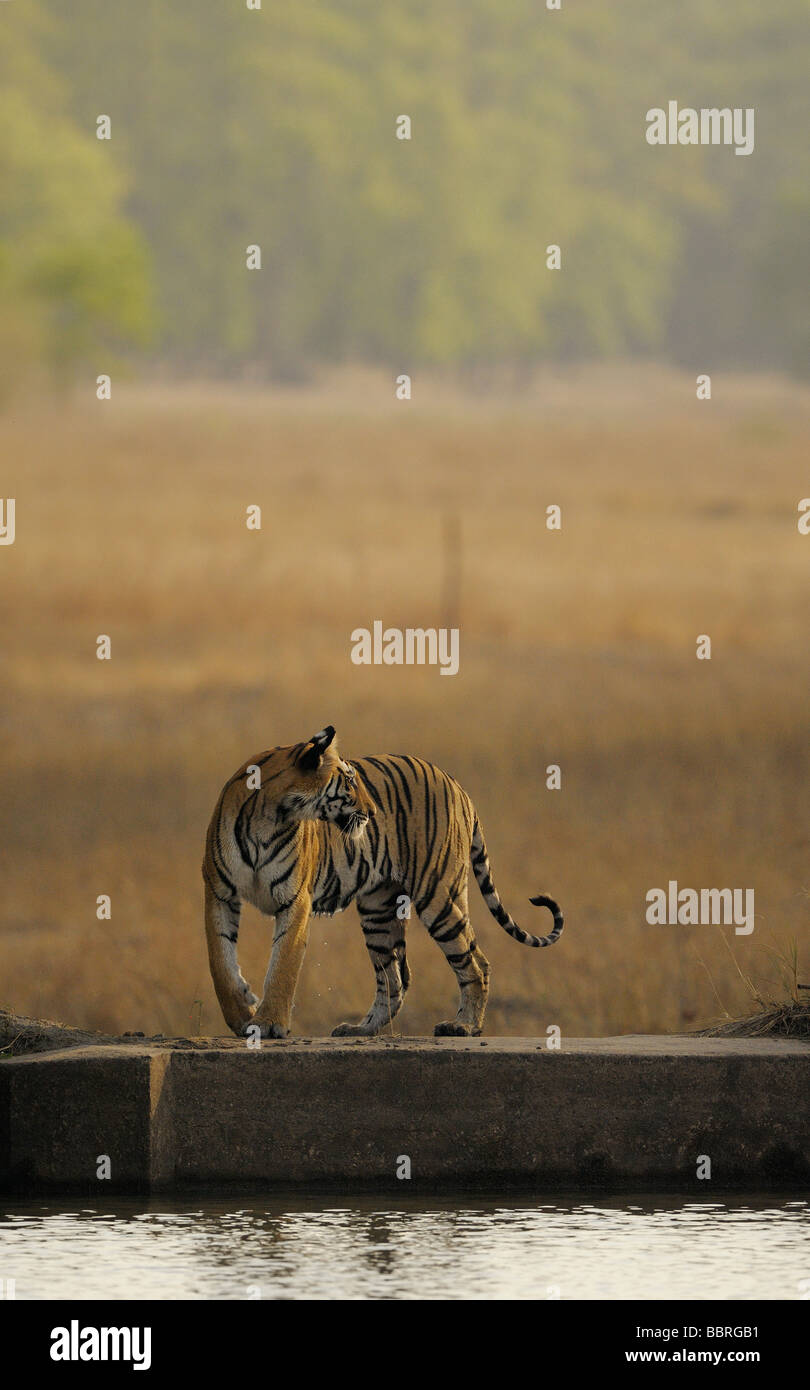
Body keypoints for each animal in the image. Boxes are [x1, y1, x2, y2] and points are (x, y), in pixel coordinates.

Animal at [202, 726, 564, 1039]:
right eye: (349, 782)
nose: (374, 811)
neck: (269, 819)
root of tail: (456, 784)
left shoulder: (295, 900)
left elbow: (283, 965)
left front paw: (268, 1023)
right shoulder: (219, 895)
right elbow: (221, 965)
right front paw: (242, 1014)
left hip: (436, 896)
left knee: (473, 963)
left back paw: (464, 1026)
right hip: (379, 910)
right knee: (396, 979)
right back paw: (361, 1029)